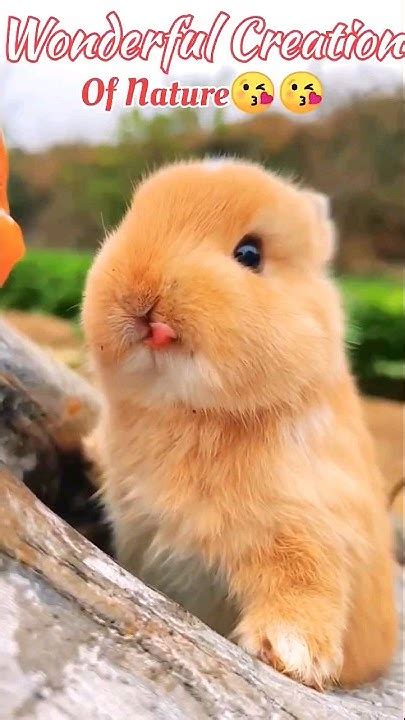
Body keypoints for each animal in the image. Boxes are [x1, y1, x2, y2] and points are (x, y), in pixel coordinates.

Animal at [82, 159, 397, 690]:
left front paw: (291, 653)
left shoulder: (302, 522)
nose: (141, 290)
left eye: (250, 254)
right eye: (131, 218)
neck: (190, 411)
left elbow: (307, 578)